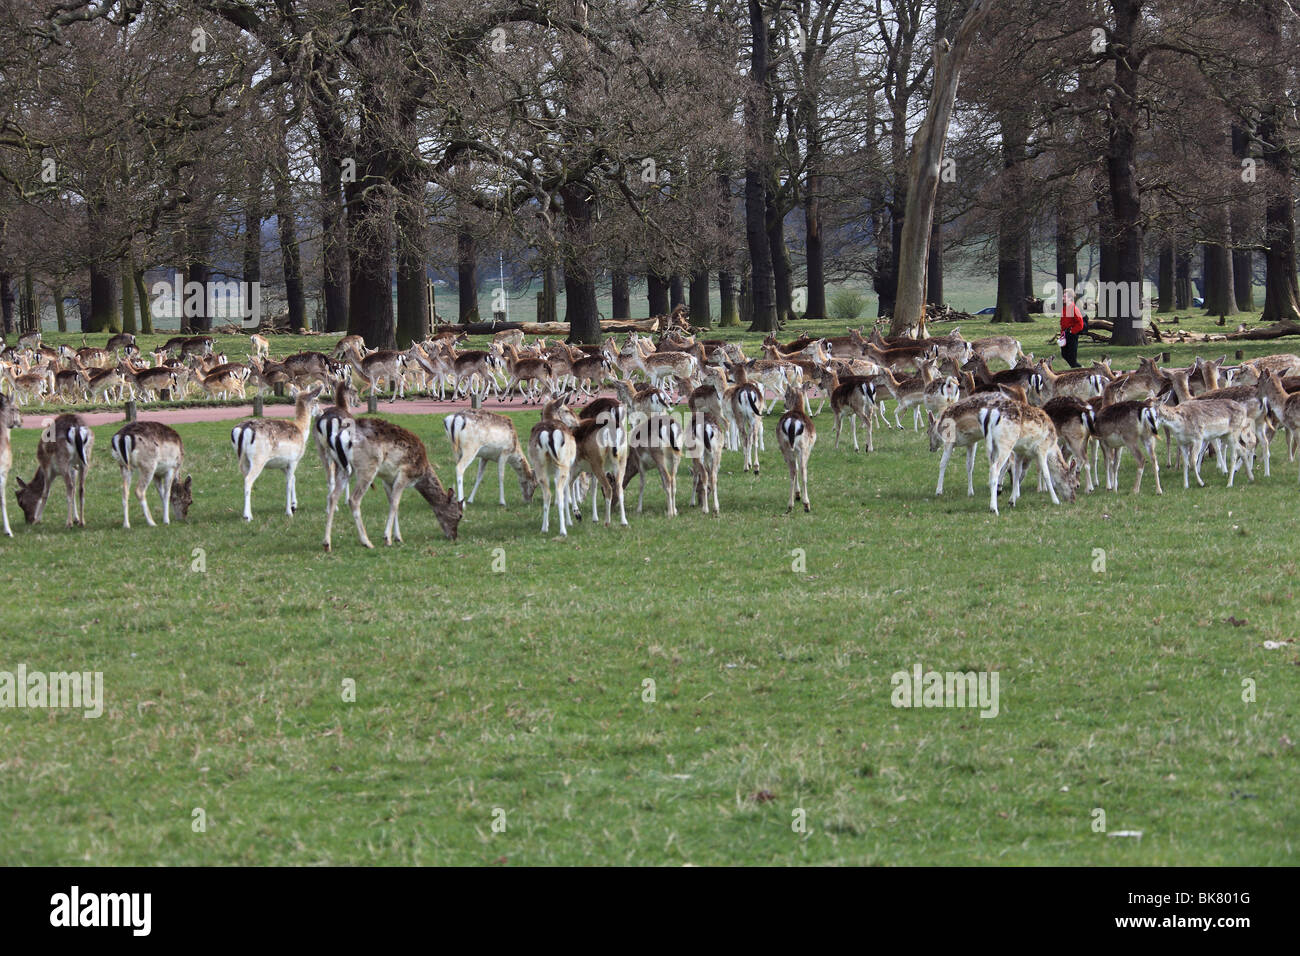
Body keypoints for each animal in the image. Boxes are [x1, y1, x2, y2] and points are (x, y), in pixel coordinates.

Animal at [230, 386, 321, 521]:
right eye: (316, 400)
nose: (321, 412)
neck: (301, 430)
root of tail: (243, 429)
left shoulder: (282, 464)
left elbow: (293, 478)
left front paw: (294, 506)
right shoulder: (294, 460)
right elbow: (288, 483)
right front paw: (289, 512)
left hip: (242, 459)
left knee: (245, 478)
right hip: (258, 459)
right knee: (248, 480)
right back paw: (248, 516)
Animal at [323, 416, 462, 550]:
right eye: (460, 515)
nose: (454, 536)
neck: (422, 470)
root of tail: (339, 436)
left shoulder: (387, 480)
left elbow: (392, 503)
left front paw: (398, 538)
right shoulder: (404, 474)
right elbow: (395, 504)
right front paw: (387, 539)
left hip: (342, 468)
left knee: (332, 497)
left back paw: (327, 543)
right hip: (368, 466)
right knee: (354, 499)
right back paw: (367, 542)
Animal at [777, 384, 817, 513]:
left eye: (786, 395)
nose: (785, 405)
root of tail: (792, 423)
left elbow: (796, 468)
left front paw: (797, 494)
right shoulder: (808, 448)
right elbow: (801, 469)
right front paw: (799, 496)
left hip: (786, 447)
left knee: (793, 471)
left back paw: (790, 505)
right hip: (802, 448)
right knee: (803, 470)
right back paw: (806, 504)